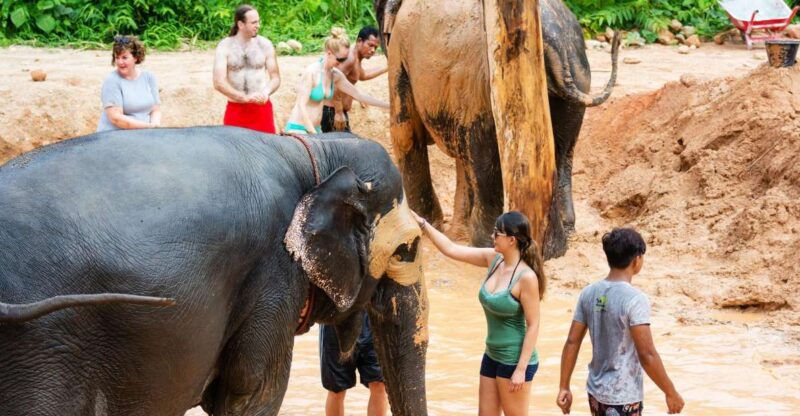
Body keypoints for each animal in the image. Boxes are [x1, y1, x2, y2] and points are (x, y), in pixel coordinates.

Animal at [374, 0, 620, 258]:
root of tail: (550, 35)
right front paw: (454, 232)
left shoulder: (400, 52)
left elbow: (404, 134)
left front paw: (425, 225)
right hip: (579, 74)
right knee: (563, 152)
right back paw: (557, 245)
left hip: (484, 82)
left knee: (483, 154)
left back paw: (485, 242)